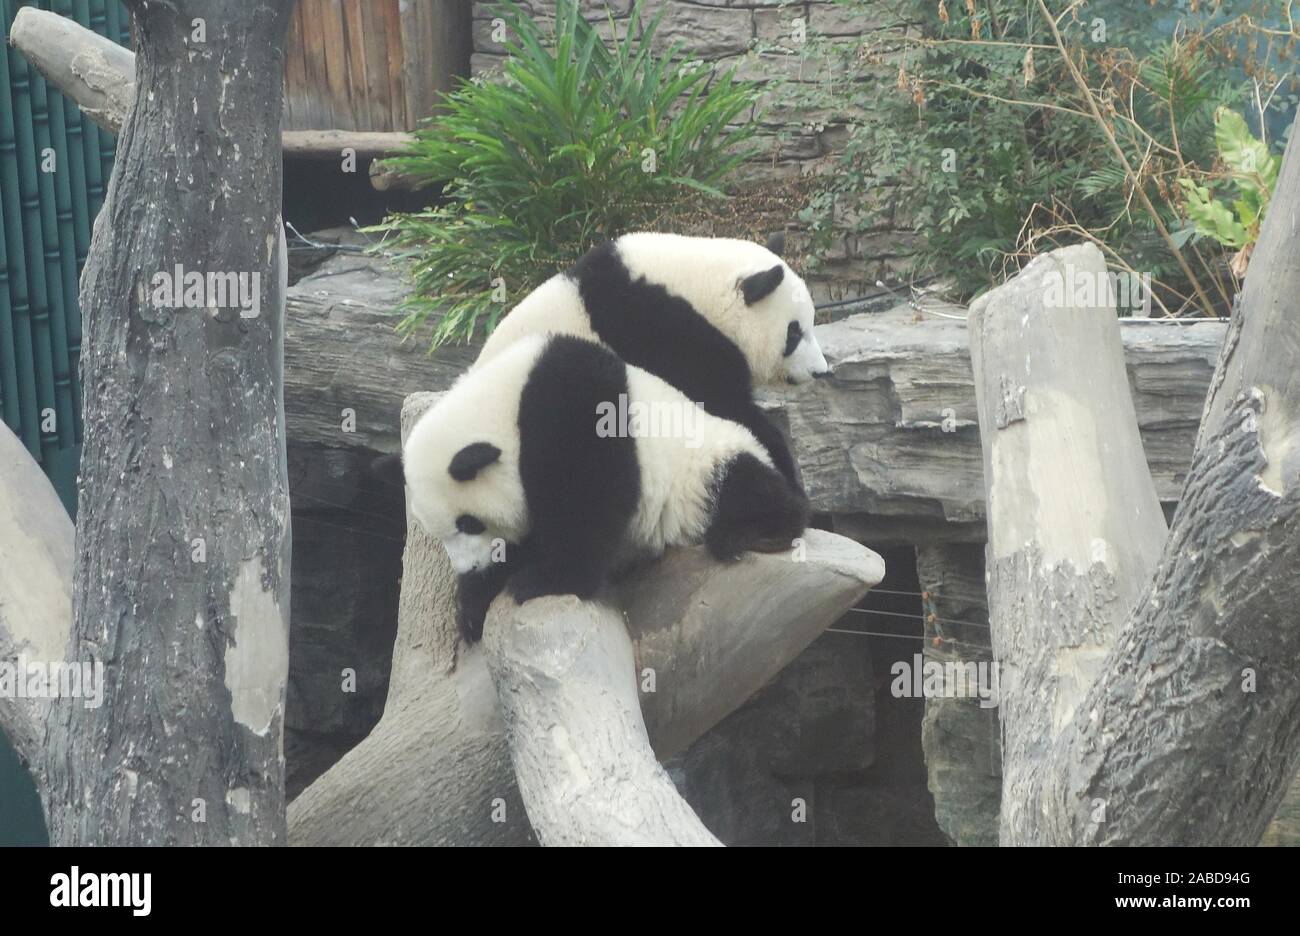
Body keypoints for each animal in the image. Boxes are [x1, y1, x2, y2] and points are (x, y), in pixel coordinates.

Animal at [403, 333, 810, 642]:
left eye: (469, 523)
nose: (470, 567)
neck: (504, 404)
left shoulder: (576, 408)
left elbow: (589, 503)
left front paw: (543, 581)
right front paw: (474, 608)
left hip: (706, 469)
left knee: (745, 489)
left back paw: (751, 533)